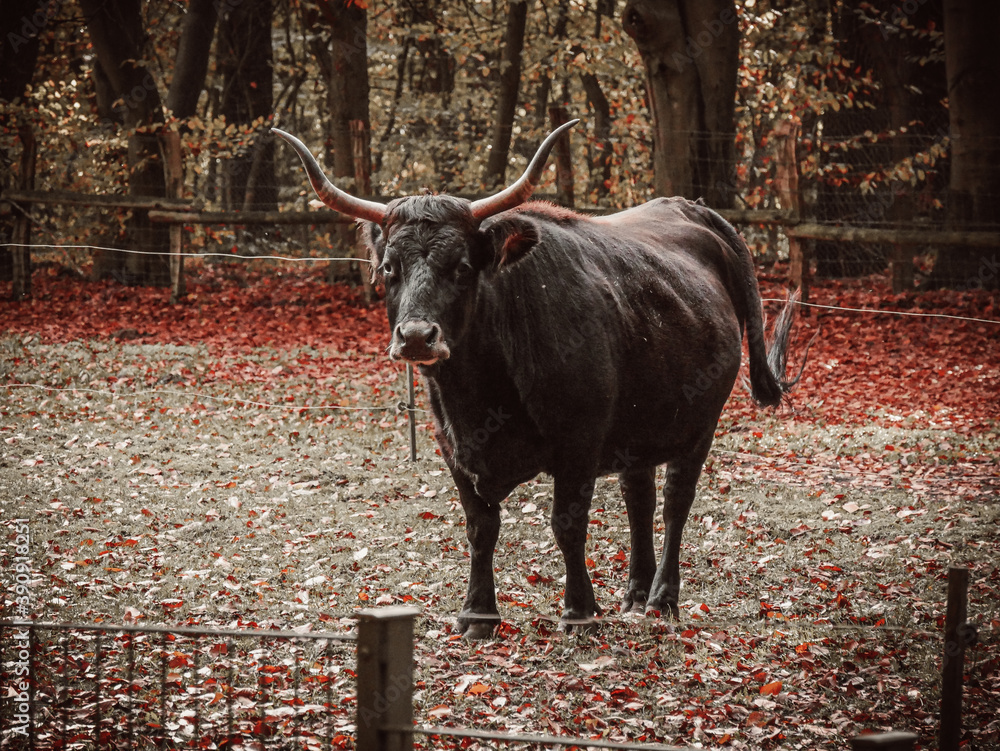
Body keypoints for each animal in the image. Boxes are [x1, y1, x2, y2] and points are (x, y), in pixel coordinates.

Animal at [274, 121, 803, 639]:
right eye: (389, 267)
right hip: (639, 427)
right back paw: (634, 593)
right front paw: (477, 615)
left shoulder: (579, 444)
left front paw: (578, 611)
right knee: (639, 498)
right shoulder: (452, 447)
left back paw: (661, 598)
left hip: (700, 424)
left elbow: (567, 525)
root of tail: (694, 210)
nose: (417, 336)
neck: (478, 393)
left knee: (676, 501)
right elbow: (480, 527)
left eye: (461, 266)